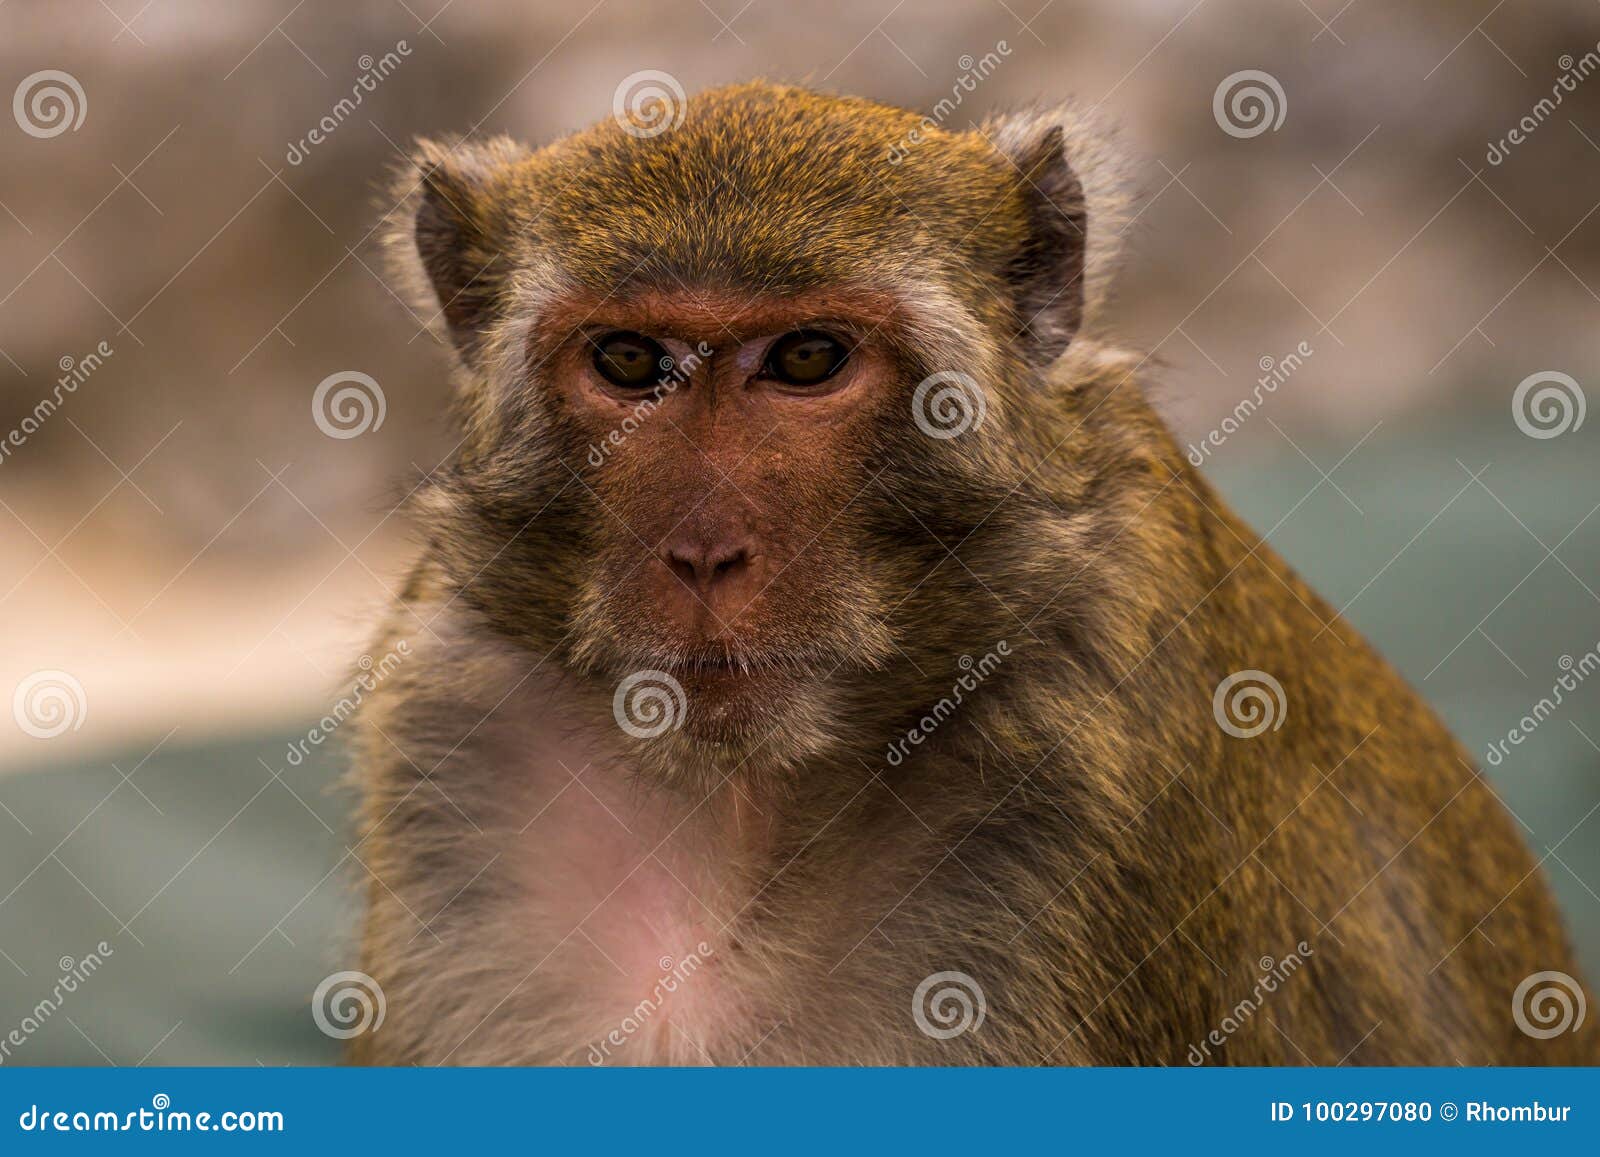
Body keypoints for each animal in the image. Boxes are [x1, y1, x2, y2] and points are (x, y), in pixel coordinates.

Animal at [346, 80, 1597, 1066]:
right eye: (627, 360)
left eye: (806, 357)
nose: (703, 551)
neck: (744, 798)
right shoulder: (451, 724)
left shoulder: (1096, 749)